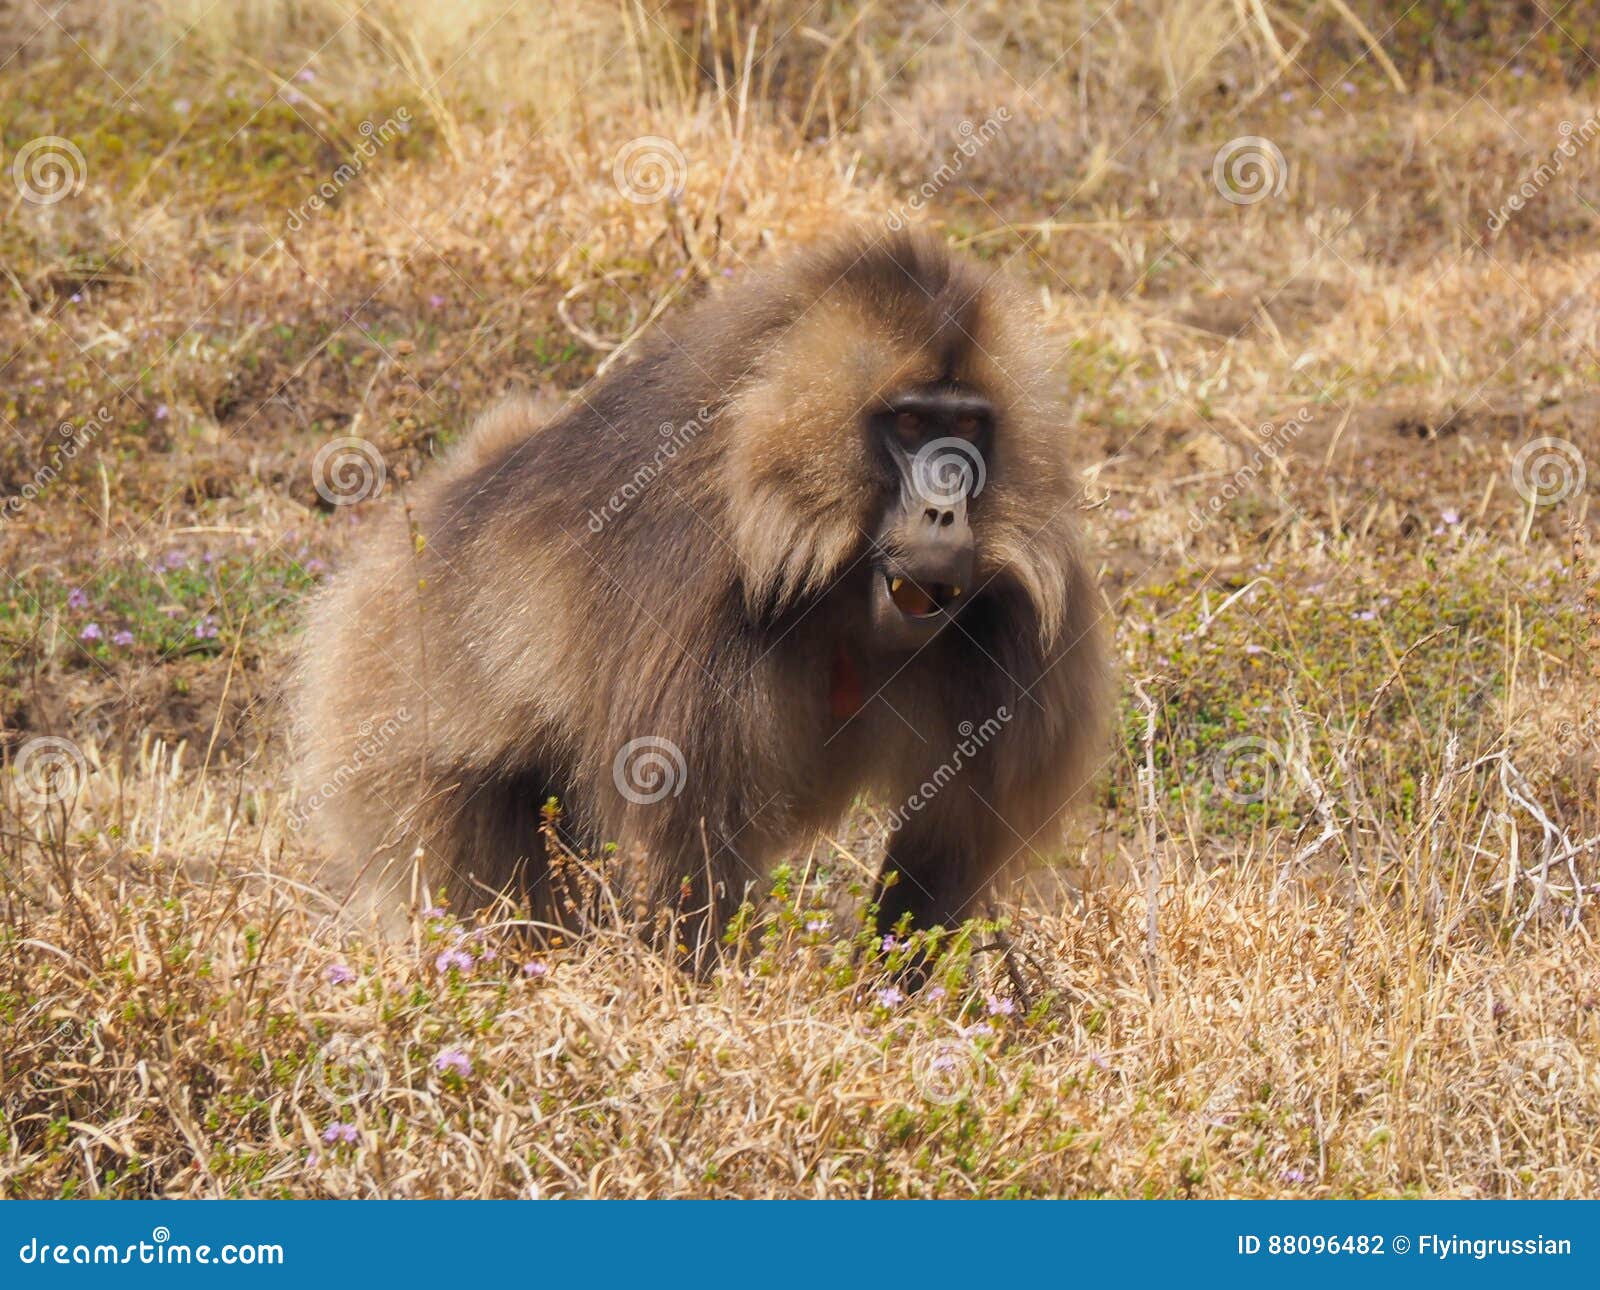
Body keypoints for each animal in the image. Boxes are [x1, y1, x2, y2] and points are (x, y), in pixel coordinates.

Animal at [290, 229, 1107, 956]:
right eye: (908, 424)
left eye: (967, 427)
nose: (943, 509)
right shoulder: (694, 591)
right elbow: (689, 853)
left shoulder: (1015, 635)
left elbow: (946, 845)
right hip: (386, 716)